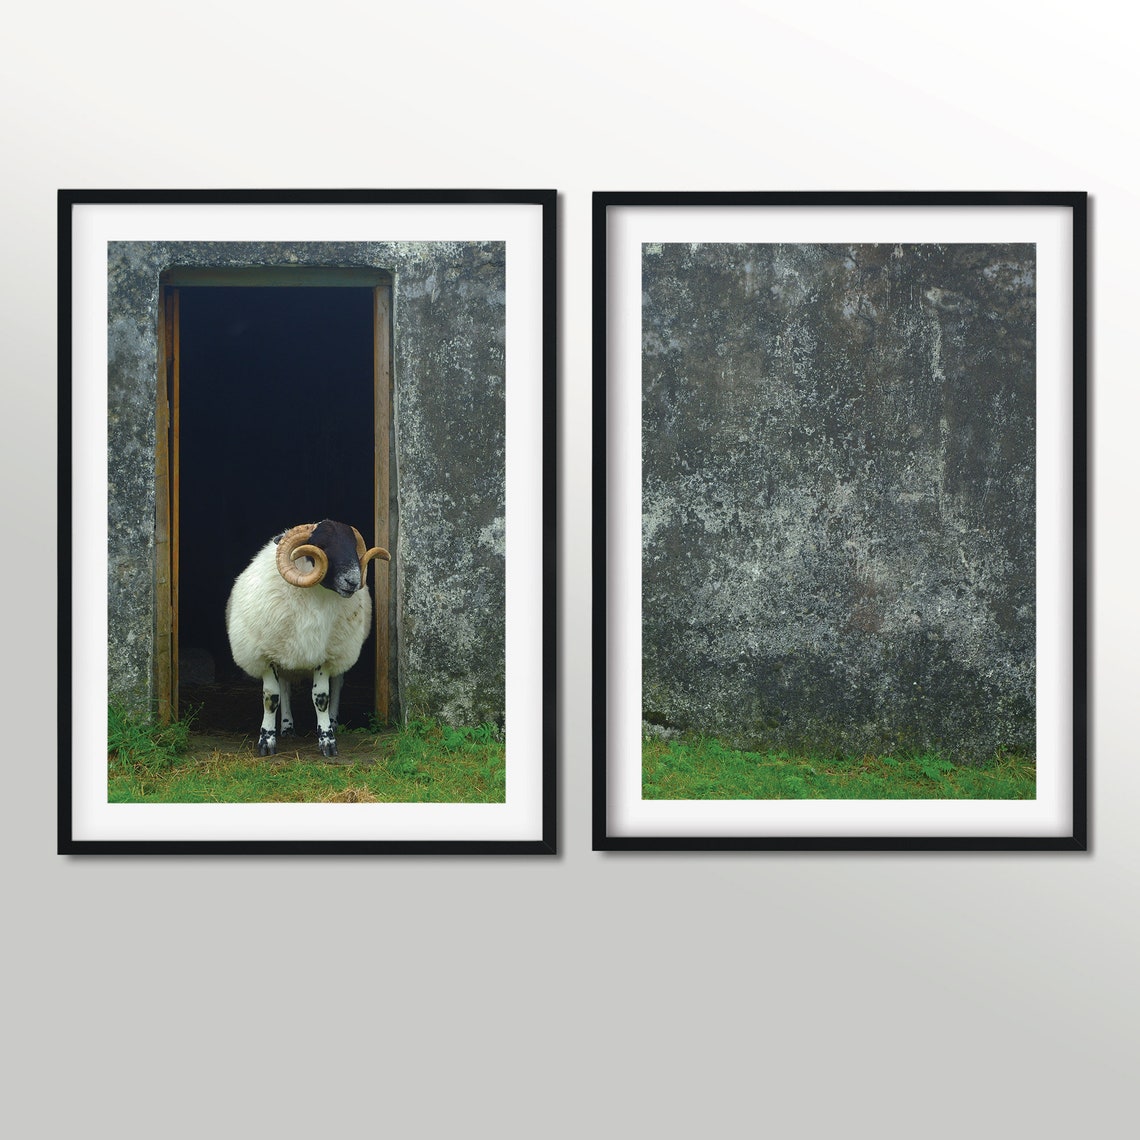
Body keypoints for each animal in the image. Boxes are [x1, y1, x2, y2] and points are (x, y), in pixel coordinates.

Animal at [225, 520, 391, 758]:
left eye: (353, 546)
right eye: (321, 545)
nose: (352, 581)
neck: (314, 597)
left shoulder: (325, 655)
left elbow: (321, 697)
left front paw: (327, 740)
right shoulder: (266, 655)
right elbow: (271, 698)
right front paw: (266, 741)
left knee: (337, 684)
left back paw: (332, 721)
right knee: (284, 688)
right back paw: (287, 727)